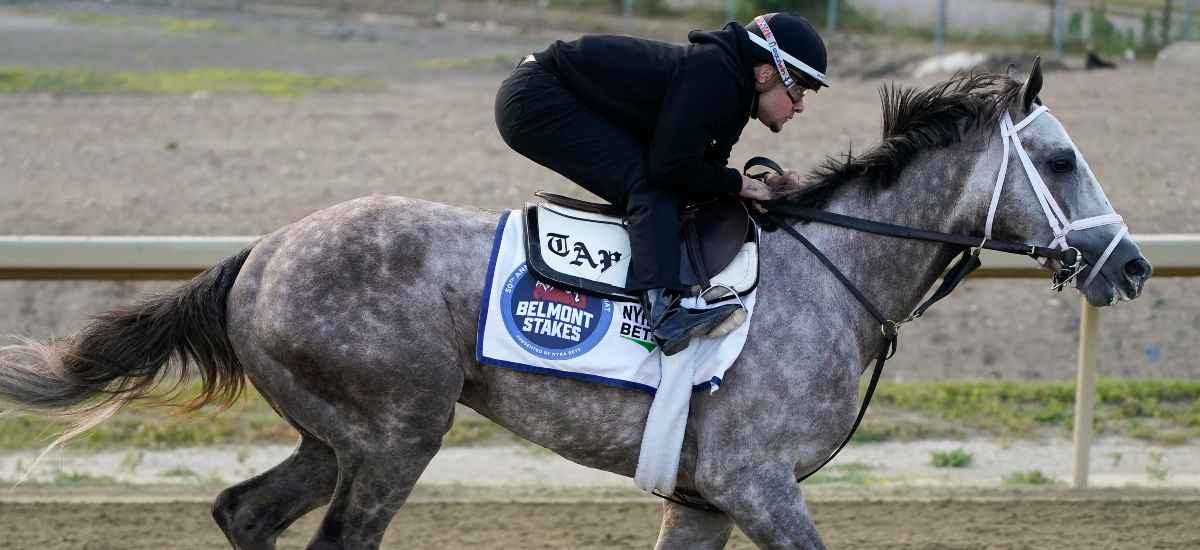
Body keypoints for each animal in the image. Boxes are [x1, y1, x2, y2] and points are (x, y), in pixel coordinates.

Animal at [0, 62, 1151, 549]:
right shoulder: (759, 483)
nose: (1134, 266)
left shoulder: (705, 496)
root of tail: (262, 251)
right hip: (396, 436)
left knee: (247, 513)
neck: (834, 273)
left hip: (337, 434)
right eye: (1058, 159)